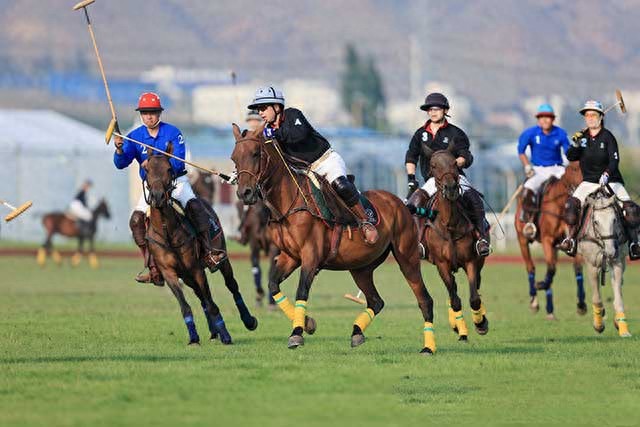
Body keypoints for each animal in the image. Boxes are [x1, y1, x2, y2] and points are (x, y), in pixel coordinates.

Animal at [144, 145, 258, 346]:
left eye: (168, 169)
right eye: (147, 170)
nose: (157, 196)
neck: (167, 232)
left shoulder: (196, 268)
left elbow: (212, 304)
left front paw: (226, 336)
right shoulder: (170, 273)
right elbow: (186, 306)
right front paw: (194, 337)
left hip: (220, 261)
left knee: (231, 287)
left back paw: (247, 321)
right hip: (187, 277)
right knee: (202, 299)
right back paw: (213, 332)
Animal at [230, 125, 436, 356]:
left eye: (255, 154)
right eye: (234, 158)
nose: (245, 193)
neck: (289, 203)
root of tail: (401, 202)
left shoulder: (311, 255)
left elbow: (301, 291)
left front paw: (297, 333)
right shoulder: (290, 257)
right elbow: (273, 285)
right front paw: (307, 323)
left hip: (407, 257)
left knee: (424, 300)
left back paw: (428, 348)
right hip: (361, 267)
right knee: (376, 301)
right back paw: (357, 332)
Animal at [408, 149, 492, 342]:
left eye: (455, 163)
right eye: (433, 165)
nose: (451, 188)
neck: (450, 224)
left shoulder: (470, 261)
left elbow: (474, 298)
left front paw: (480, 323)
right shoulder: (442, 264)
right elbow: (455, 300)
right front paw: (461, 330)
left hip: (480, 260)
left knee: (476, 287)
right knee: (453, 291)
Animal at [512, 160, 588, 318]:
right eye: (575, 168)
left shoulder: (570, 243)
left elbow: (577, 269)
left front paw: (581, 304)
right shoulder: (547, 240)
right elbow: (551, 269)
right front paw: (540, 285)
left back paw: (550, 310)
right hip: (522, 239)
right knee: (531, 267)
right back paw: (534, 302)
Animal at [576, 187, 632, 338]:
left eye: (615, 220)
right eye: (595, 222)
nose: (610, 251)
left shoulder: (617, 262)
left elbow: (619, 299)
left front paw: (624, 329)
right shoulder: (592, 265)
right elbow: (597, 299)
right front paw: (599, 325)